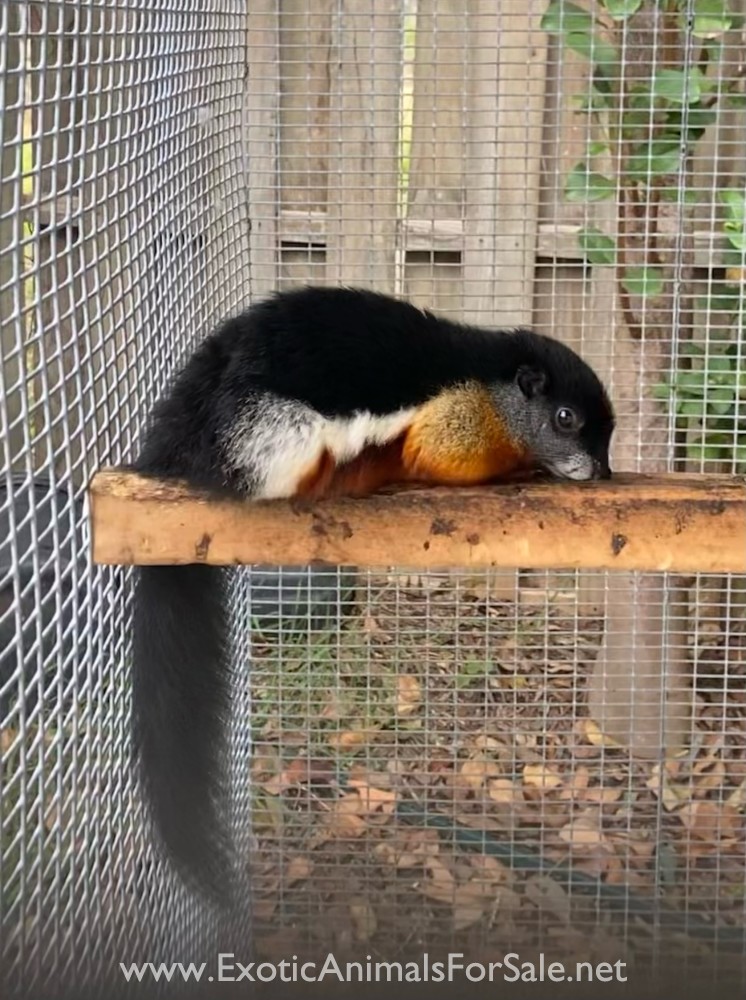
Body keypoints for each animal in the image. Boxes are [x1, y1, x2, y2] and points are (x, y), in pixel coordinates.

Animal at [129, 284, 615, 908]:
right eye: (565, 418)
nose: (602, 472)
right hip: (275, 435)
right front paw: (520, 473)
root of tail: (176, 448)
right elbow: (441, 460)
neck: (493, 390)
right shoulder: (454, 424)